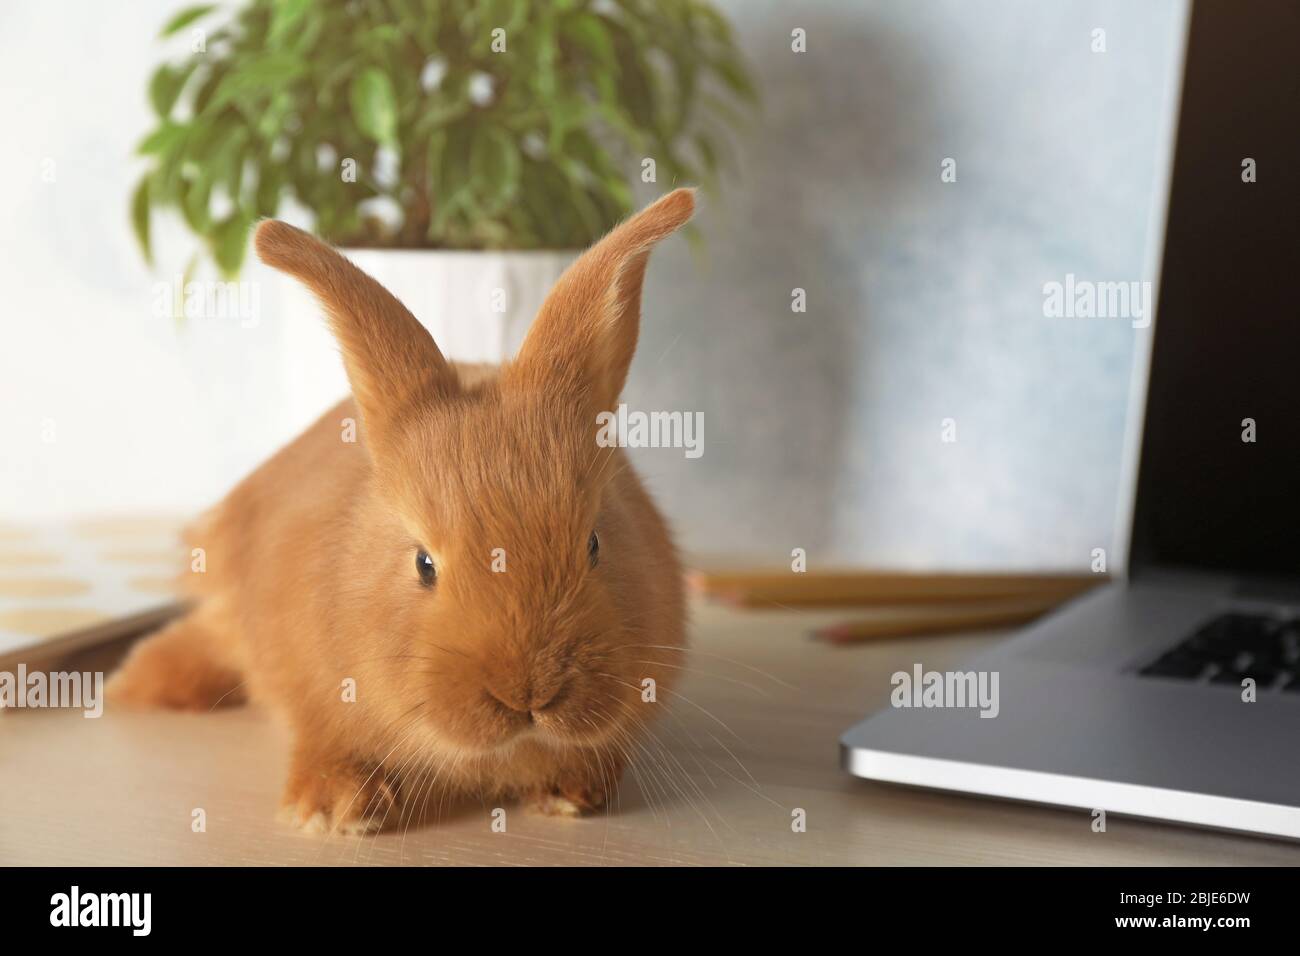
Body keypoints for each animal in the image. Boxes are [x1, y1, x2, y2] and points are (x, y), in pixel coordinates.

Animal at [107, 189, 695, 834]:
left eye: (594, 544)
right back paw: (132, 686)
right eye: (424, 564)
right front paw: (333, 811)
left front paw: (571, 794)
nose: (528, 694)